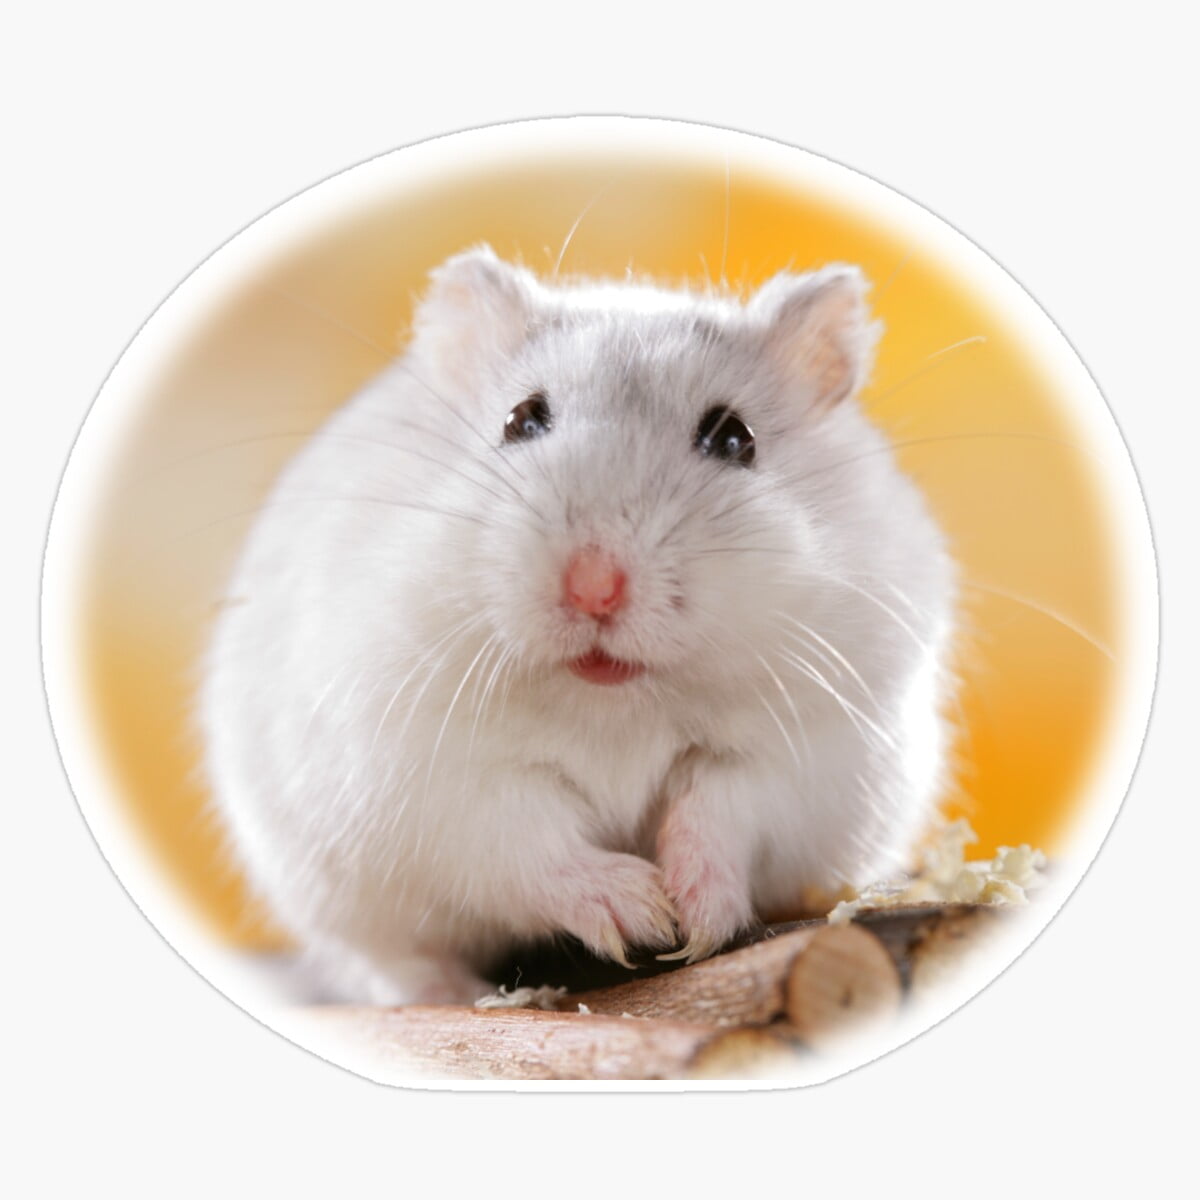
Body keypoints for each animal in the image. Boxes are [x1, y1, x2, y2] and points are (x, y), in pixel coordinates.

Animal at [199, 246, 957, 1005]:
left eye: (734, 439)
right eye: (520, 419)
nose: (595, 588)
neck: (610, 703)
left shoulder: (808, 751)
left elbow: (725, 807)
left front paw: (690, 921)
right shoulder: (428, 778)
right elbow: (527, 841)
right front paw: (642, 914)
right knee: (390, 962)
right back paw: (457, 995)